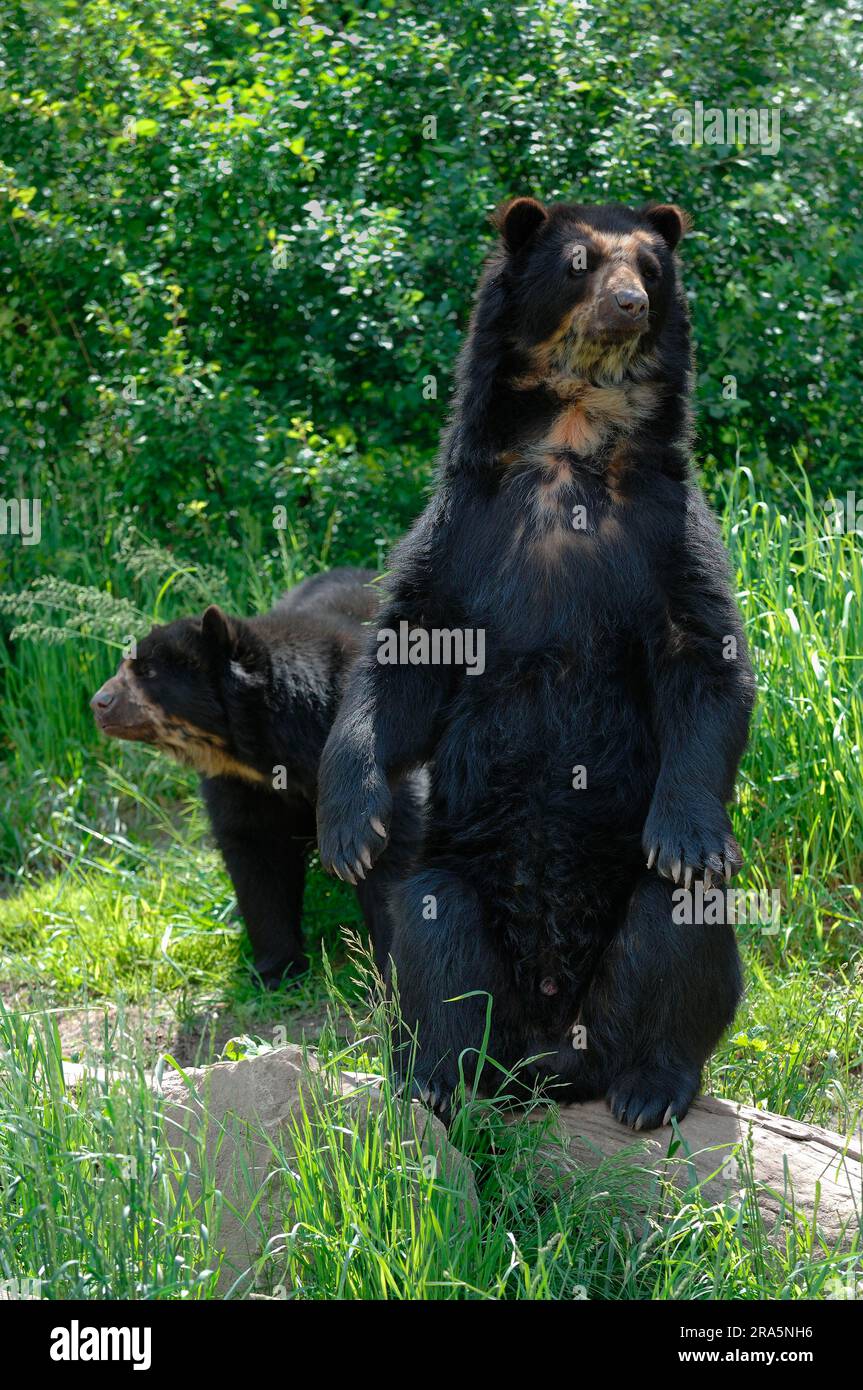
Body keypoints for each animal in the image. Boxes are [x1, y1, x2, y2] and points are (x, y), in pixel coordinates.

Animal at [91, 568, 425, 988]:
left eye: (148, 672)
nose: (98, 703)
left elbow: (389, 846)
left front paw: (390, 975)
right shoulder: (241, 783)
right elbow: (255, 851)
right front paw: (276, 970)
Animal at [316, 198, 756, 1128]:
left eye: (649, 268)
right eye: (580, 262)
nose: (629, 304)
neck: (569, 445)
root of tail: (555, 1047)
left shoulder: (666, 531)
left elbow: (705, 658)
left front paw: (688, 835)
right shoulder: (461, 532)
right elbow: (401, 660)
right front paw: (349, 830)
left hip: (627, 960)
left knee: (677, 936)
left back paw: (650, 1087)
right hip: (461, 891)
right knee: (433, 939)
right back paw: (438, 1077)